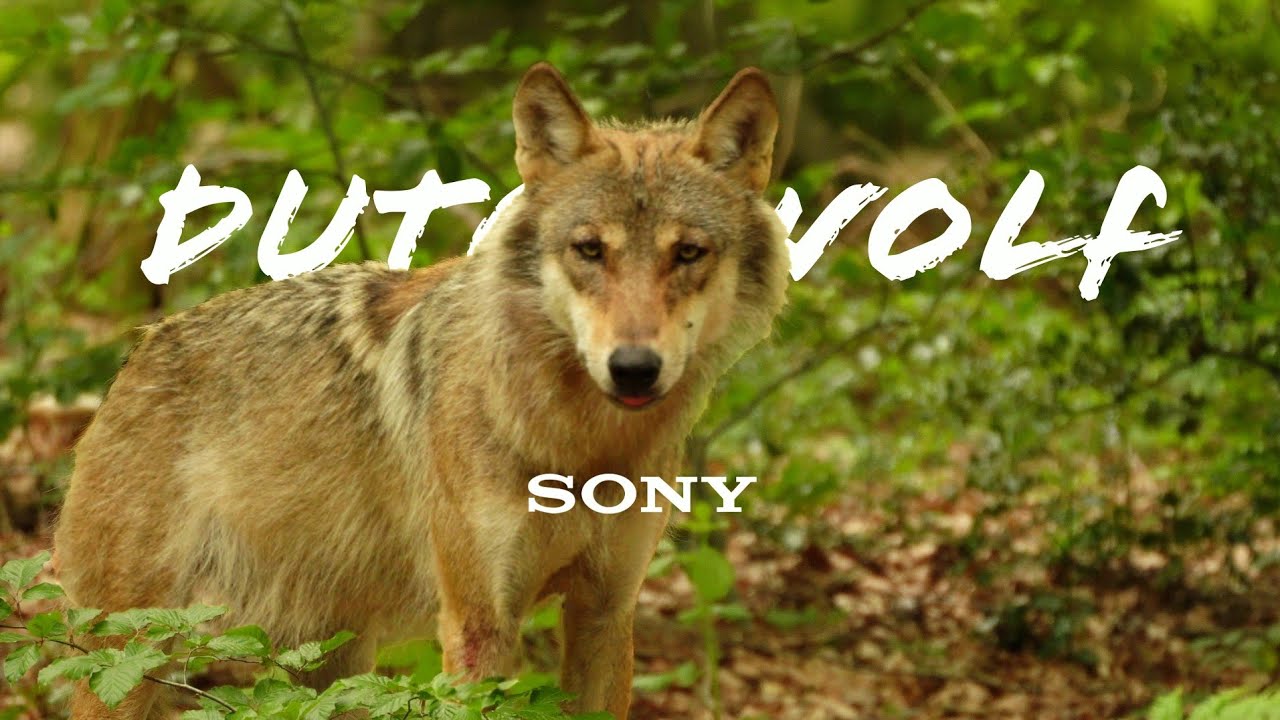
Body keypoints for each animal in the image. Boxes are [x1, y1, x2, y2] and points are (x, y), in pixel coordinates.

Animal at [53, 62, 789, 719]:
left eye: (687, 253)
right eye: (589, 250)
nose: (634, 367)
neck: (581, 444)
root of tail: (137, 354)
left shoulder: (607, 611)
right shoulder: (478, 623)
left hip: (327, 666)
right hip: (135, 657)